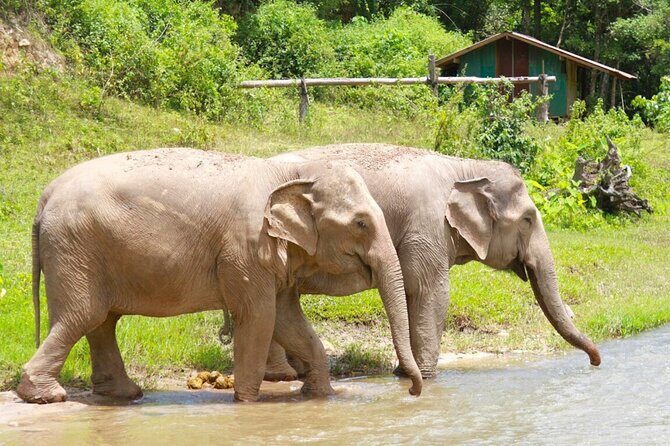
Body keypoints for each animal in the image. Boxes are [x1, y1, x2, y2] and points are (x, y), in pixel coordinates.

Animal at [17, 147, 422, 404]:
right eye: (361, 223)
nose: (413, 391)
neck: (292, 174)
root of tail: (45, 196)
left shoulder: (272, 256)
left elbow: (288, 320)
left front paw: (321, 396)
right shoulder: (246, 248)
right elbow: (259, 318)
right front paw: (246, 404)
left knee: (102, 320)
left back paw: (123, 394)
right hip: (76, 249)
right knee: (82, 315)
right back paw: (45, 396)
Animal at [263, 143, 601, 379]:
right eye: (528, 220)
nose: (595, 362)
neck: (463, 167)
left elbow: (415, 293)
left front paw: (405, 373)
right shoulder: (426, 226)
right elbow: (430, 292)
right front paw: (425, 377)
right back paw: (284, 375)